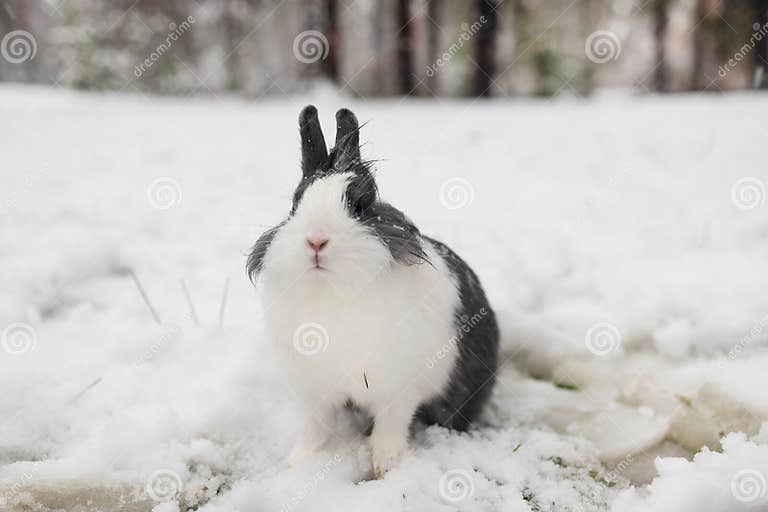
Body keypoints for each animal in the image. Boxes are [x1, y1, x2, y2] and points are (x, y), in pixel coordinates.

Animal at [247, 106, 499, 477]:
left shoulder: (398, 392)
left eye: (360, 206)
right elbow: (312, 431)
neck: (333, 293)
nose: (316, 240)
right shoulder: (312, 395)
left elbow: (389, 428)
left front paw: (386, 467)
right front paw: (297, 464)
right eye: (294, 205)